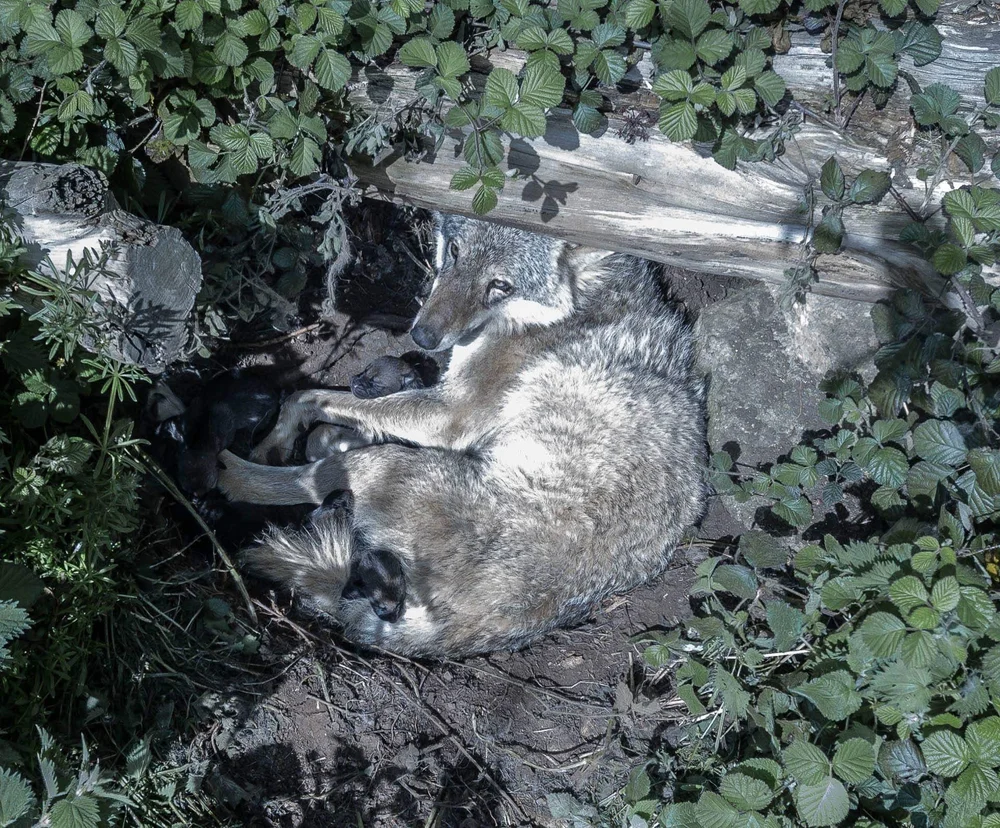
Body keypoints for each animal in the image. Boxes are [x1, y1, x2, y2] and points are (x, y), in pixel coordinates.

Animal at [217, 214, 707, 657]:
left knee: (302, 480)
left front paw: (271, 441)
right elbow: (322, 406)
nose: (422, 336)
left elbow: (304, 395)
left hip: (383, 466)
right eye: (454, 252)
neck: (579, 301)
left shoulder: (452, 412)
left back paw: (229, 473)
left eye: (500, 285)